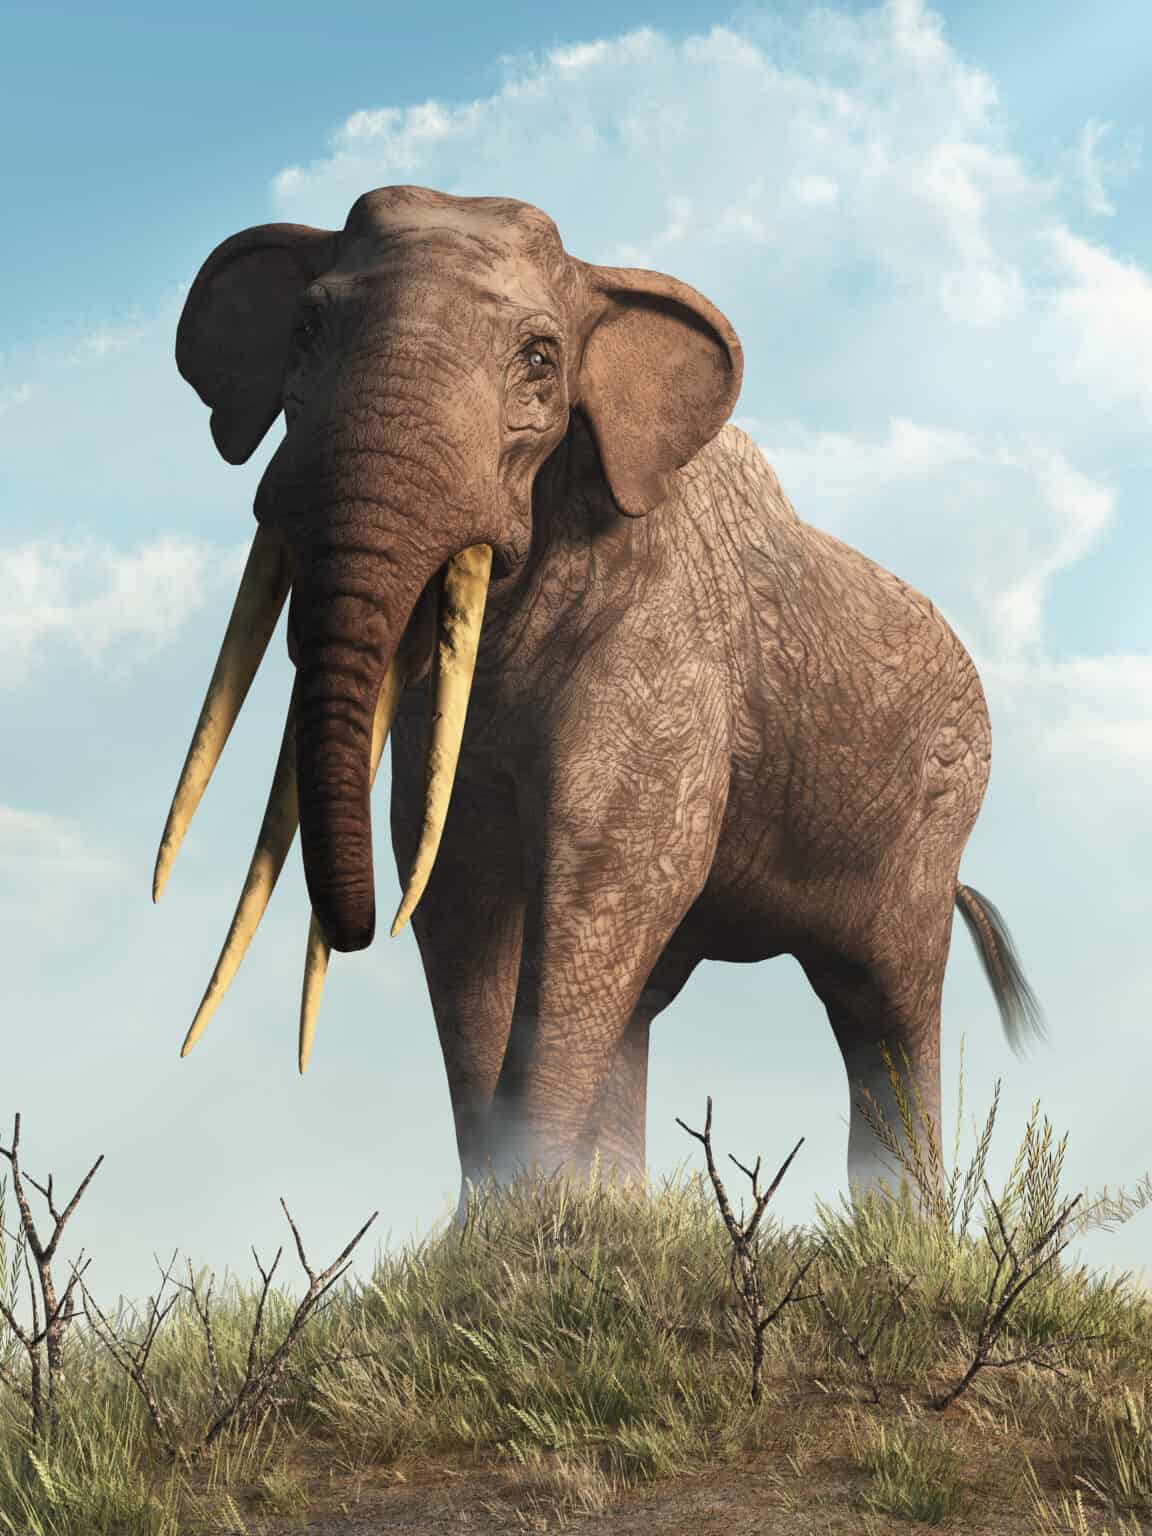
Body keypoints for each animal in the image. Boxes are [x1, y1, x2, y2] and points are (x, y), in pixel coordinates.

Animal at [155, 183, 1044, 1222]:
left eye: (540, 360)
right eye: (303, 330)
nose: (358, 928)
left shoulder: (667, 640)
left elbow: (607, 873)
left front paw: (514, 1228)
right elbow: (457, 881)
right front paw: (509, 1230)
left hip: (931, 815)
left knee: (883, 1000)